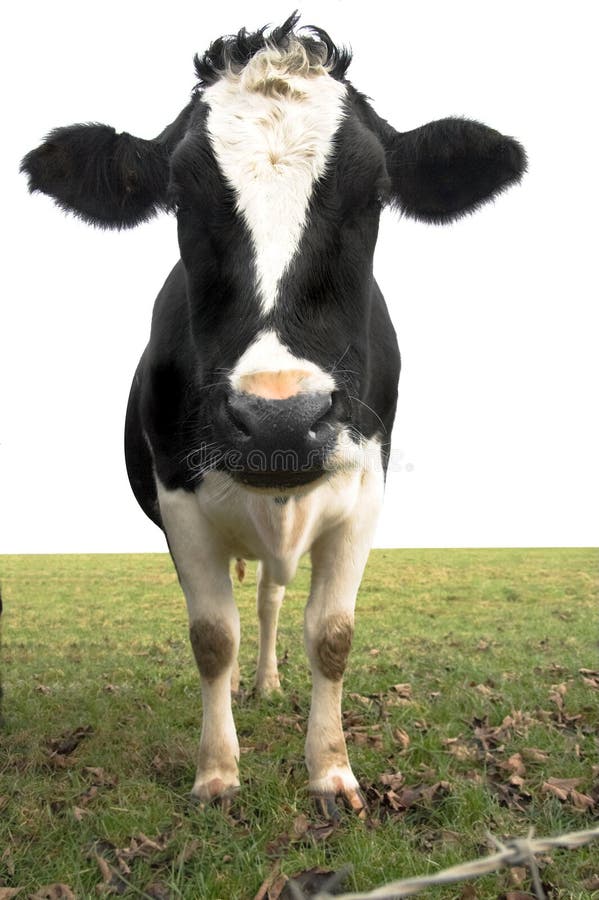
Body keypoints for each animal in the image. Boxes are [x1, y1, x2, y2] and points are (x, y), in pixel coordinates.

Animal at [21, 14, 525, 816]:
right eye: (182, 198)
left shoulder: (365, 489)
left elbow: (331, 635)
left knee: (269, 600)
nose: (279, 420)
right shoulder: (177, 495)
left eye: (373, 196)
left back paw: (266, 683)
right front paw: (217, 772)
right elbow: (210, 636)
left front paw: (331, 771)